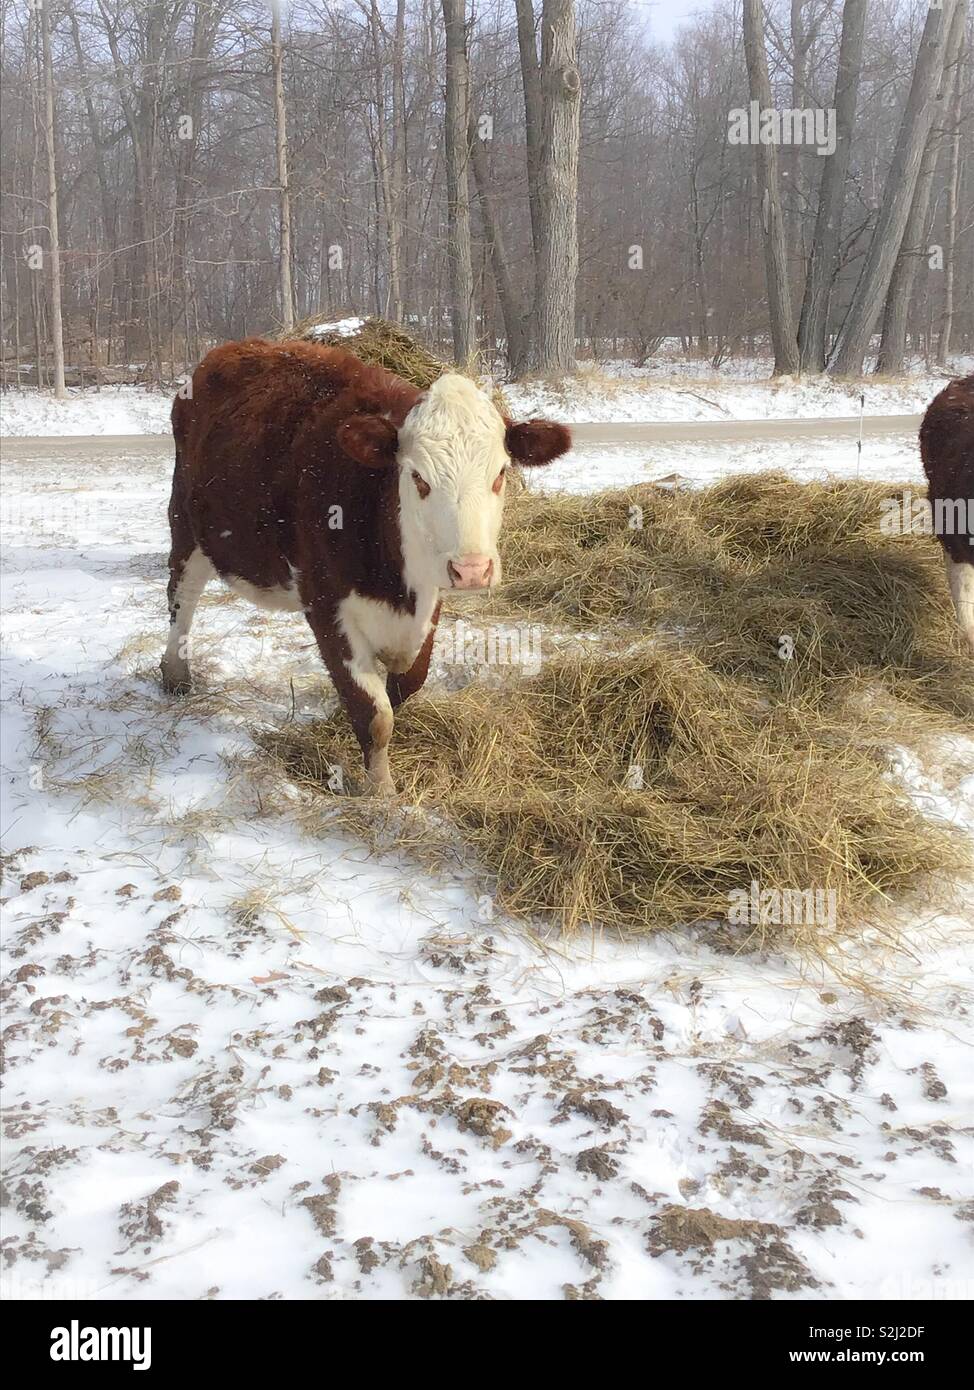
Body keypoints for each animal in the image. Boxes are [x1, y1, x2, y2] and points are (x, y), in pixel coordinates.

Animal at [162, 337, 571, 792]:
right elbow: (373, 713)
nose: (471, 570)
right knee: (182, 596)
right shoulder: (327, 607)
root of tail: (234, 348)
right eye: (418, 477)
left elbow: (404, 686)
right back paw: (175, 673)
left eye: (500, 473)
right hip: (185, 523)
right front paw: (381, 792)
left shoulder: (428, 601)